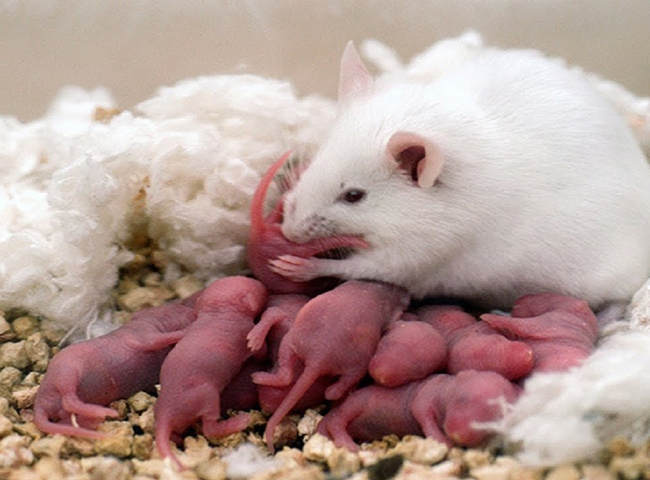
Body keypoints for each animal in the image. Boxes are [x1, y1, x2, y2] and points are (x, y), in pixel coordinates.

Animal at [270, 42, 650, 311]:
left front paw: (291, 265)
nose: (288, 232)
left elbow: (355, 267)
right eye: (316, 161)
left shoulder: (417, 257)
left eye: (354, 196)